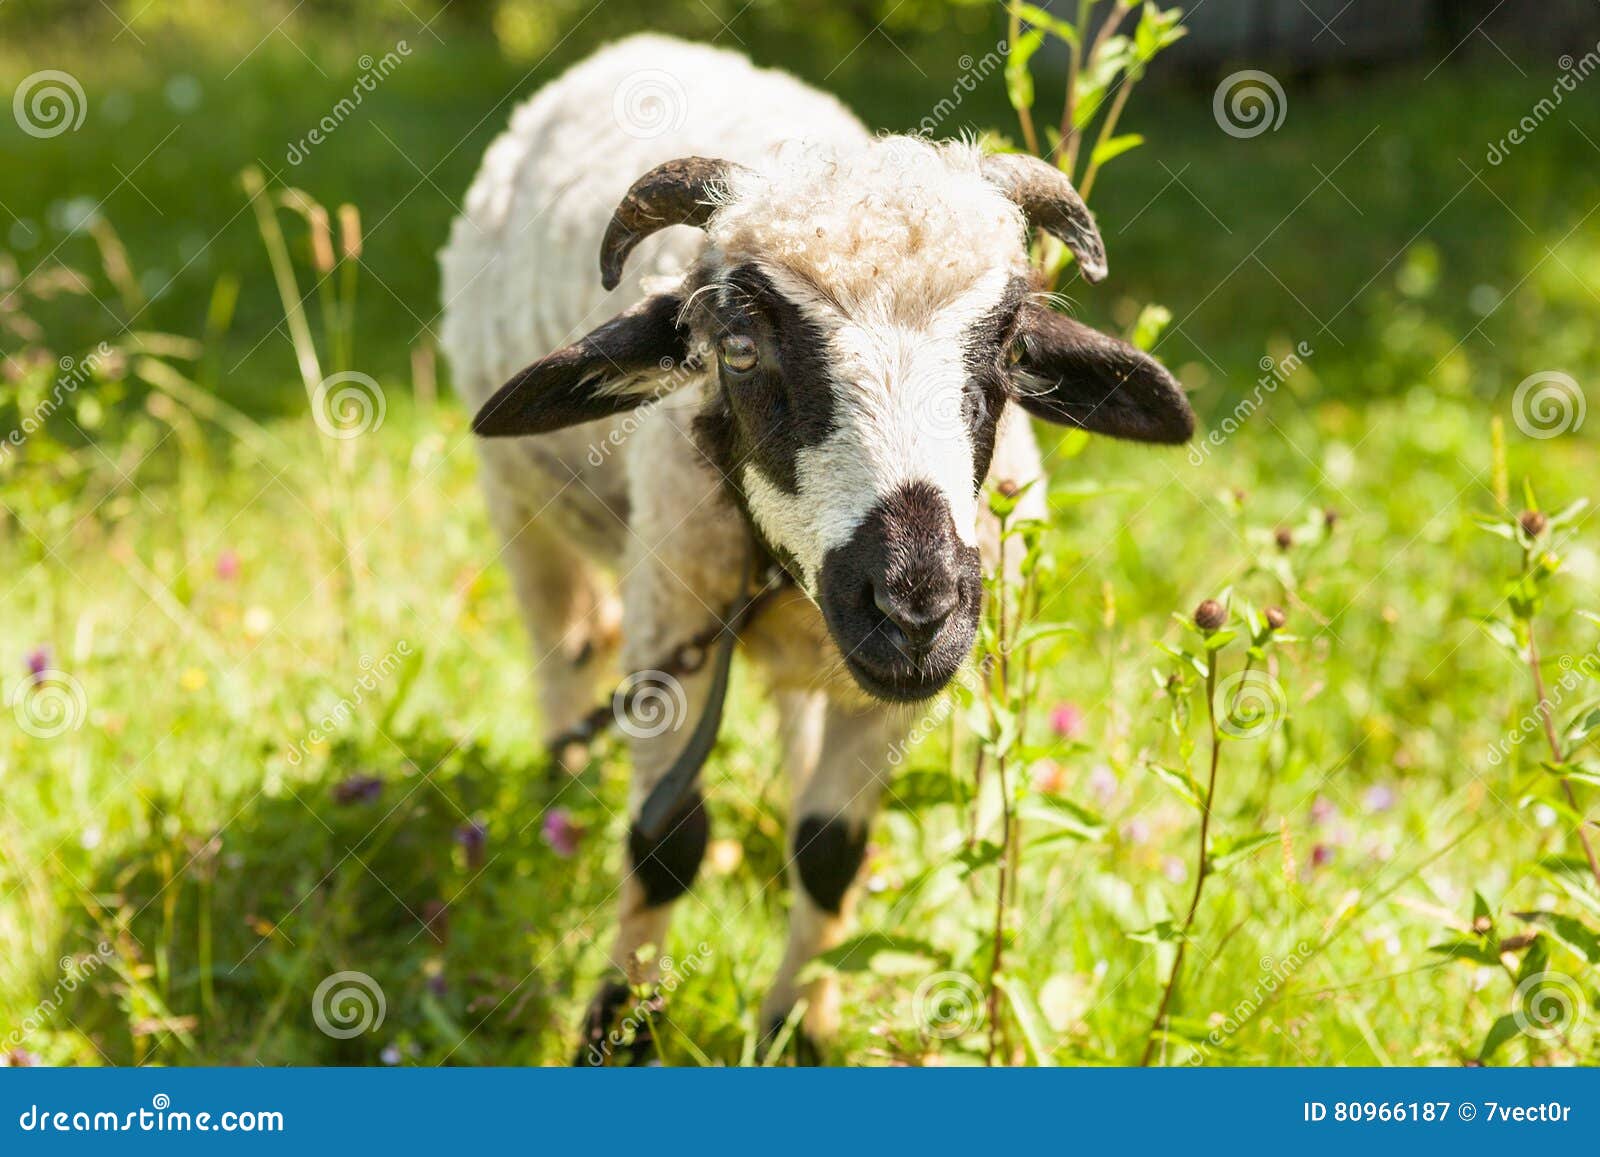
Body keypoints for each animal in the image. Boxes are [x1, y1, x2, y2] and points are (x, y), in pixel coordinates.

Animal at [439, 32, 1193, 1062]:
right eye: (739, 347)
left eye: (1005, 354)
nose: (917, 606)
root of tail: (648, 42)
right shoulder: (669, 628)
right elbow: (665, 841)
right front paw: (619, 1026)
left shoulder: (891, 695)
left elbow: (829, 851)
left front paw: (799, 1024)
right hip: (518, 505)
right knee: (564, 642)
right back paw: (564, 787)